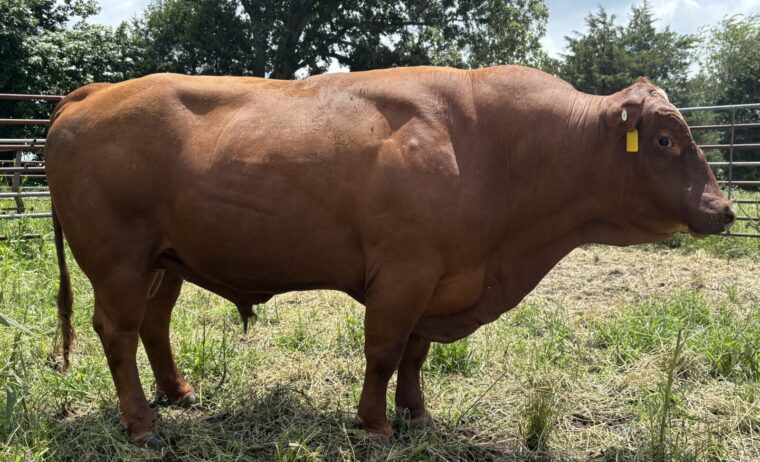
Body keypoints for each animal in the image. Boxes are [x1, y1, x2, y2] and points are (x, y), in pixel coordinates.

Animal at [45, 65, 734, 449]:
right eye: (665, 140)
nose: (724, 210)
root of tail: (92, 94)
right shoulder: (404, 275)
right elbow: (382, 352)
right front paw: (375, 426)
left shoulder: (441, 280)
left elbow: (415, 355)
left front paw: (417, 414)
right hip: (119, 260)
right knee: (118, 333)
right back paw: (142, 424)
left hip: (166, 262)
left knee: (154, 327)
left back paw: (181, 394)